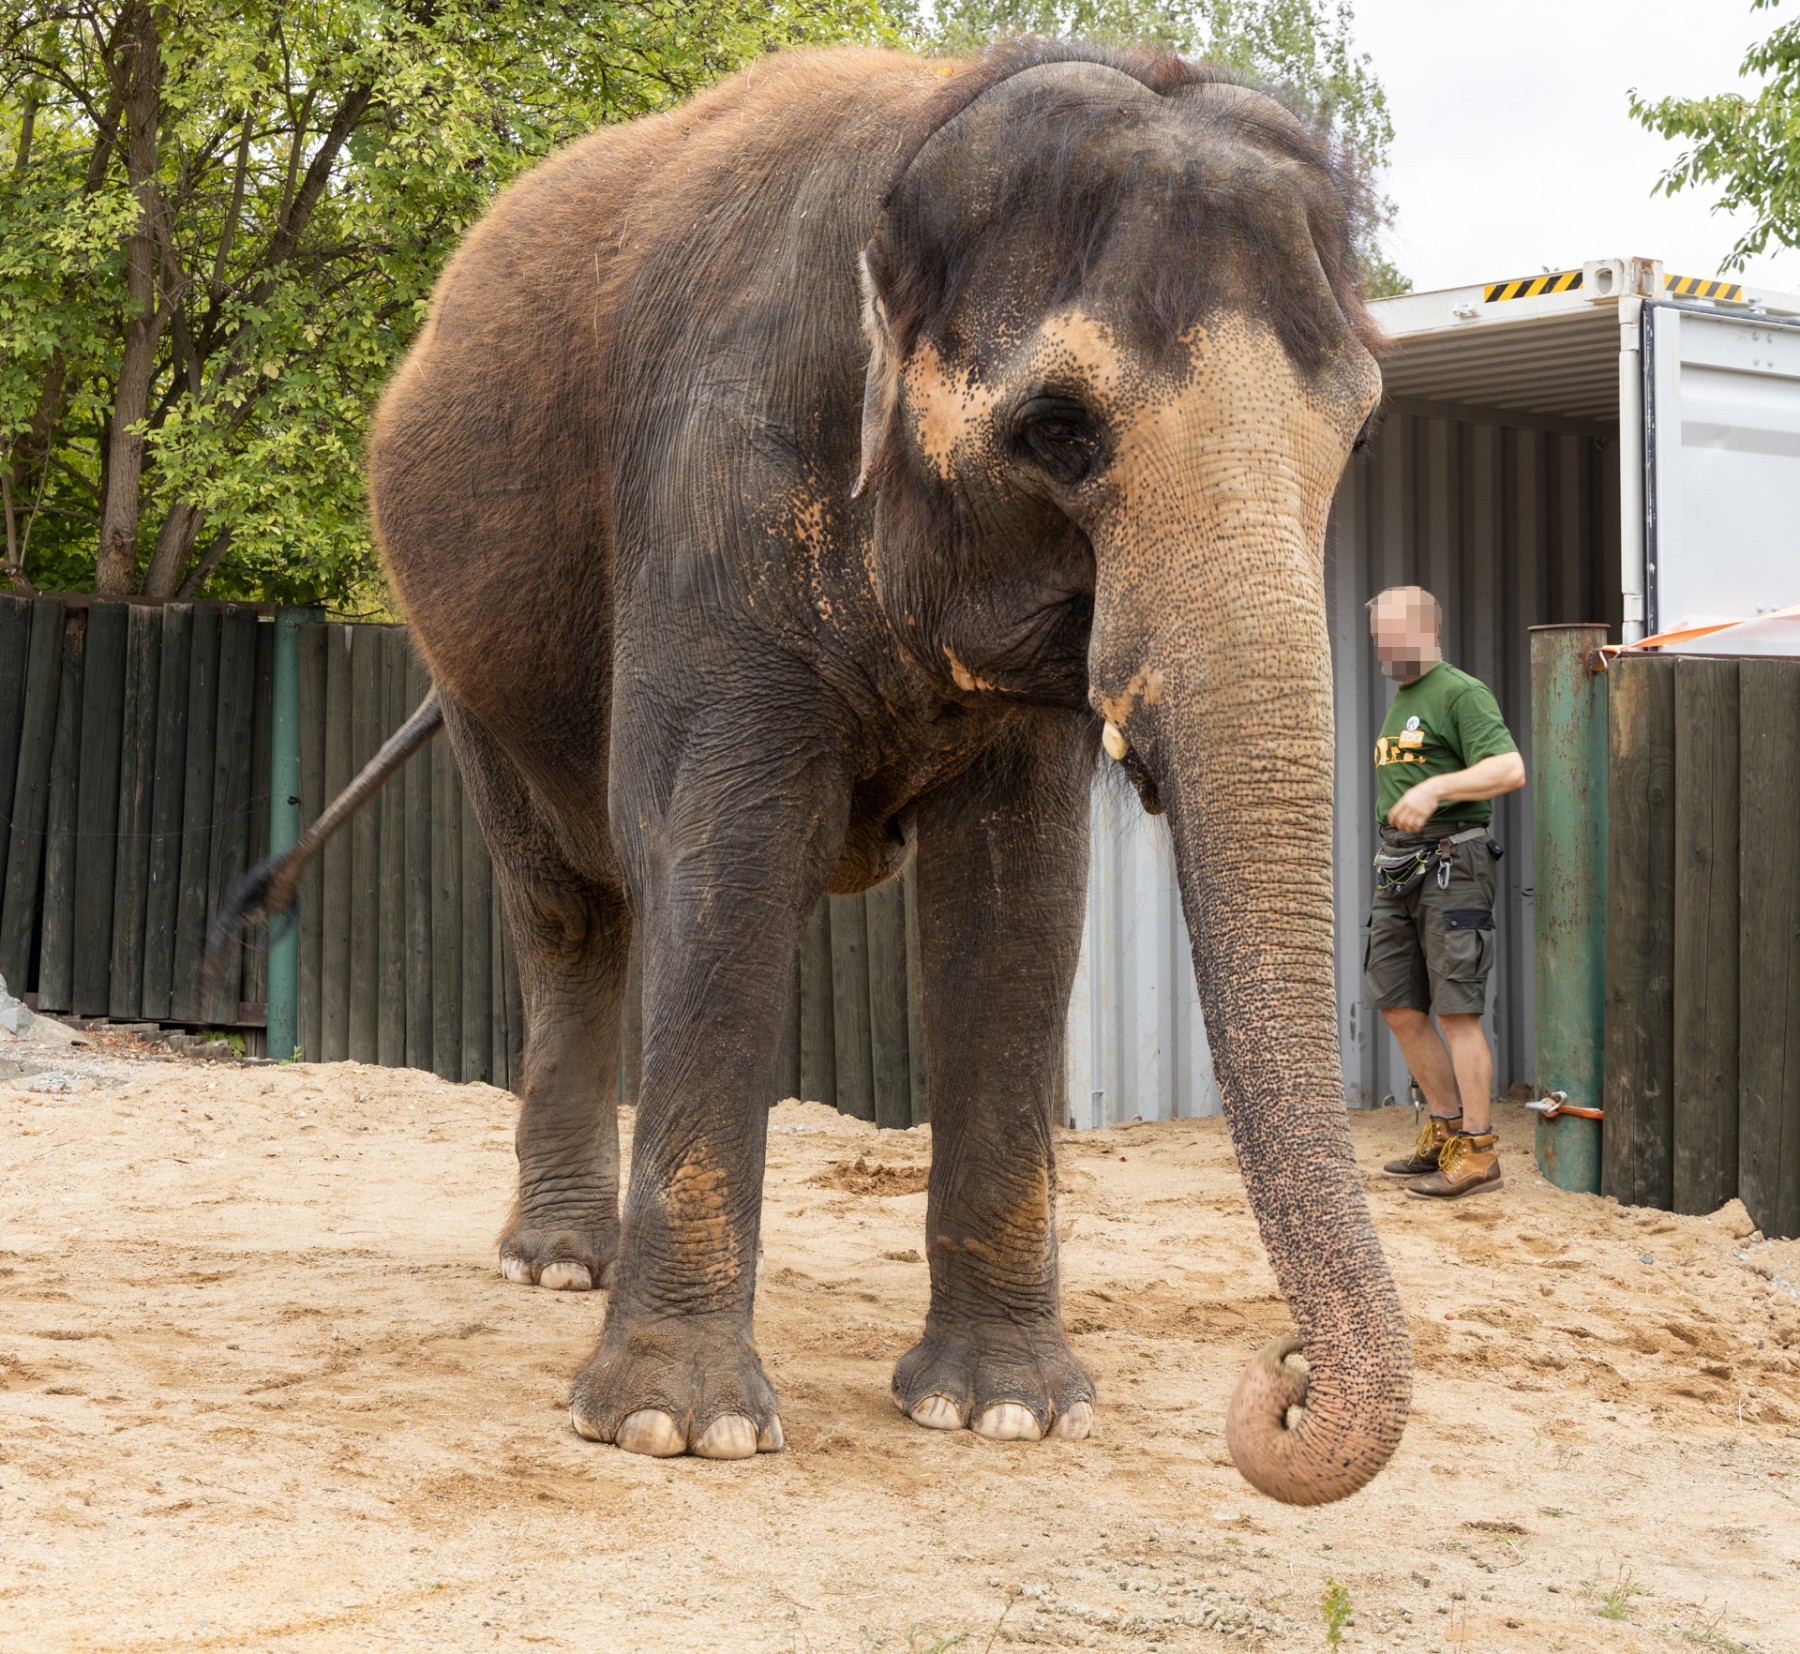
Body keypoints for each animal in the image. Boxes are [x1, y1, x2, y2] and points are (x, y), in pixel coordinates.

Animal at [222, 37, 1409, 1505]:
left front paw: (1006, 1410)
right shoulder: (715, 498)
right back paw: (557, 1265)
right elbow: (725, 856)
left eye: (1356, 437)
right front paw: (676, 1427)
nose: (1283, 1375)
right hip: (470, 663)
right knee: (567, 908)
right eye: (1060, 430)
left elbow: (1018, 902)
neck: (927, 129)